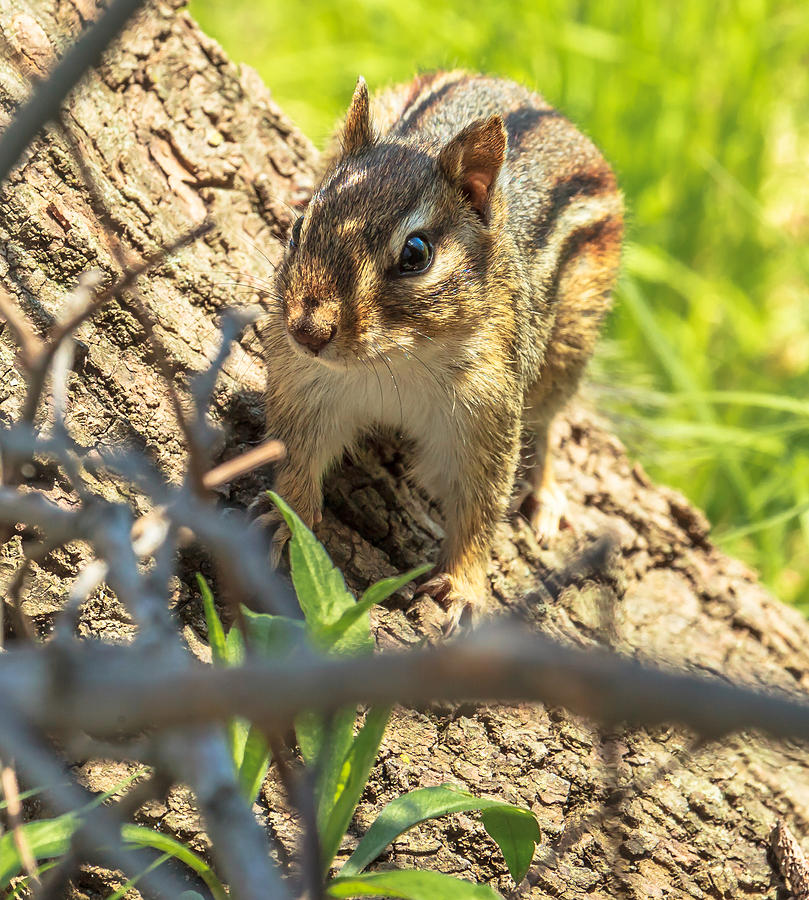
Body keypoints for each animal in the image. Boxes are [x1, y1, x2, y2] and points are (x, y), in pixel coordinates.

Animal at [255, 70, 623, 629]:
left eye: (416, 254)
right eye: (300, 228)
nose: (308, 332)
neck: (397, 361)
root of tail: (539, 102)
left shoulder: (485, 414)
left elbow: (480, 508)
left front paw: (464, 588)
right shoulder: (305, 386)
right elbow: (297, 459)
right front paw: (283, 522)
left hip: (568, 354)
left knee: (548, 423)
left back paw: (547, 495)